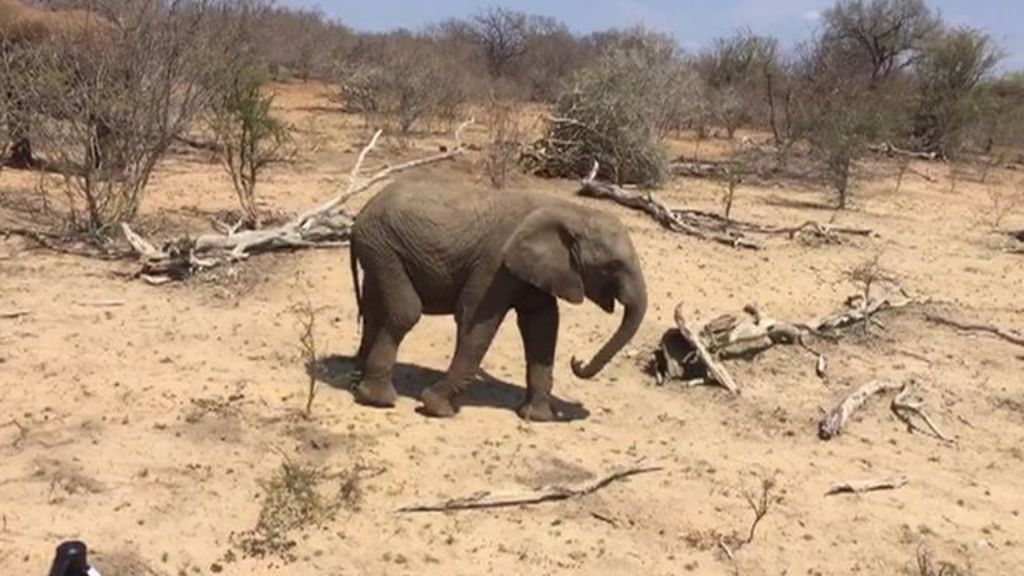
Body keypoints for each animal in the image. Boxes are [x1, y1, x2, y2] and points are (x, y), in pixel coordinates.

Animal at [348, 179, 648, 421]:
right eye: (612, 266)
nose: (577, 362)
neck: (571, 211)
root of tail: (362, 213)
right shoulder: (494, 264)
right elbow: (476, 322)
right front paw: (437, 407)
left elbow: (543, 324)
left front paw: (537, 417)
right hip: (384, 247)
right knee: (405, 312)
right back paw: (380, 399)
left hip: (380, 251)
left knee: (375, 308)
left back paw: (358, 378)